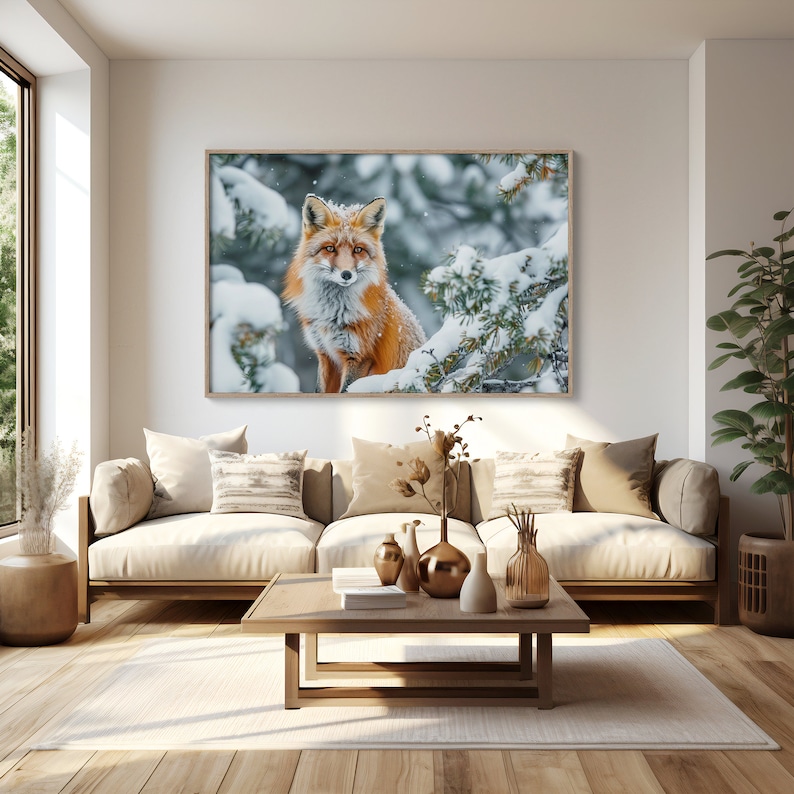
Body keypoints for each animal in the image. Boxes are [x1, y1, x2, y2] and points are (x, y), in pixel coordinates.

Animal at [282, 194, 427, 393]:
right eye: (330, 248)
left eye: (358, 249)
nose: (346, 274)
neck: (332, 314)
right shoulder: (325, 354)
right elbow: (320, 390)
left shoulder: (359, 357)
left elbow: (345, 391)